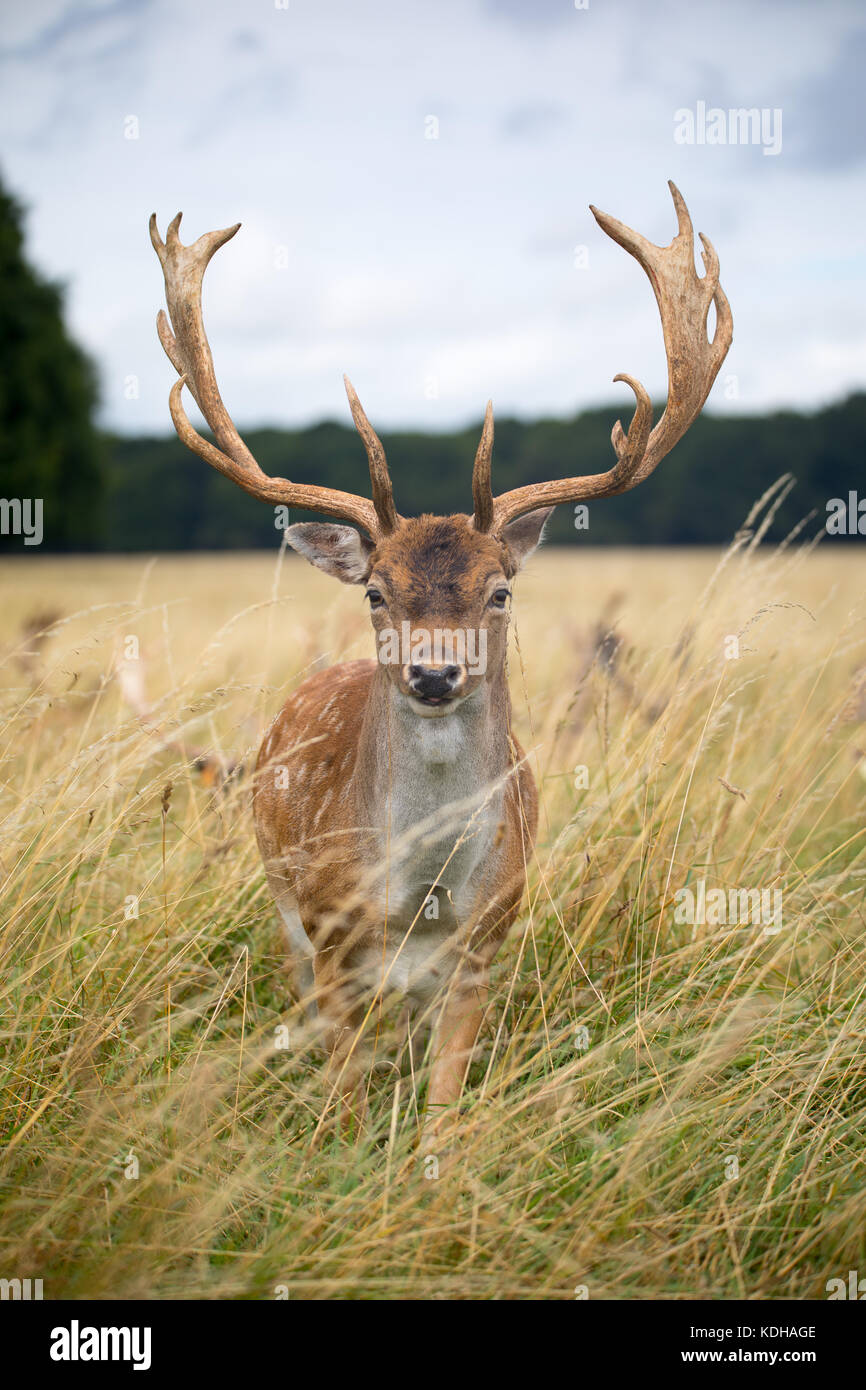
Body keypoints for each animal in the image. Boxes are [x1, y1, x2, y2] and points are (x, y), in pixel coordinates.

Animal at [149, 181, 732, 1149]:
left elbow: (445, 1105)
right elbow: (345, 1087)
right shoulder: (328, 930)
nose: (432, 675)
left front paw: (432, 1159)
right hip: (277, 898)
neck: (422, 897)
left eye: (499, 591)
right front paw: (342, 1151)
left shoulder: (488, 939)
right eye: (375, 592)